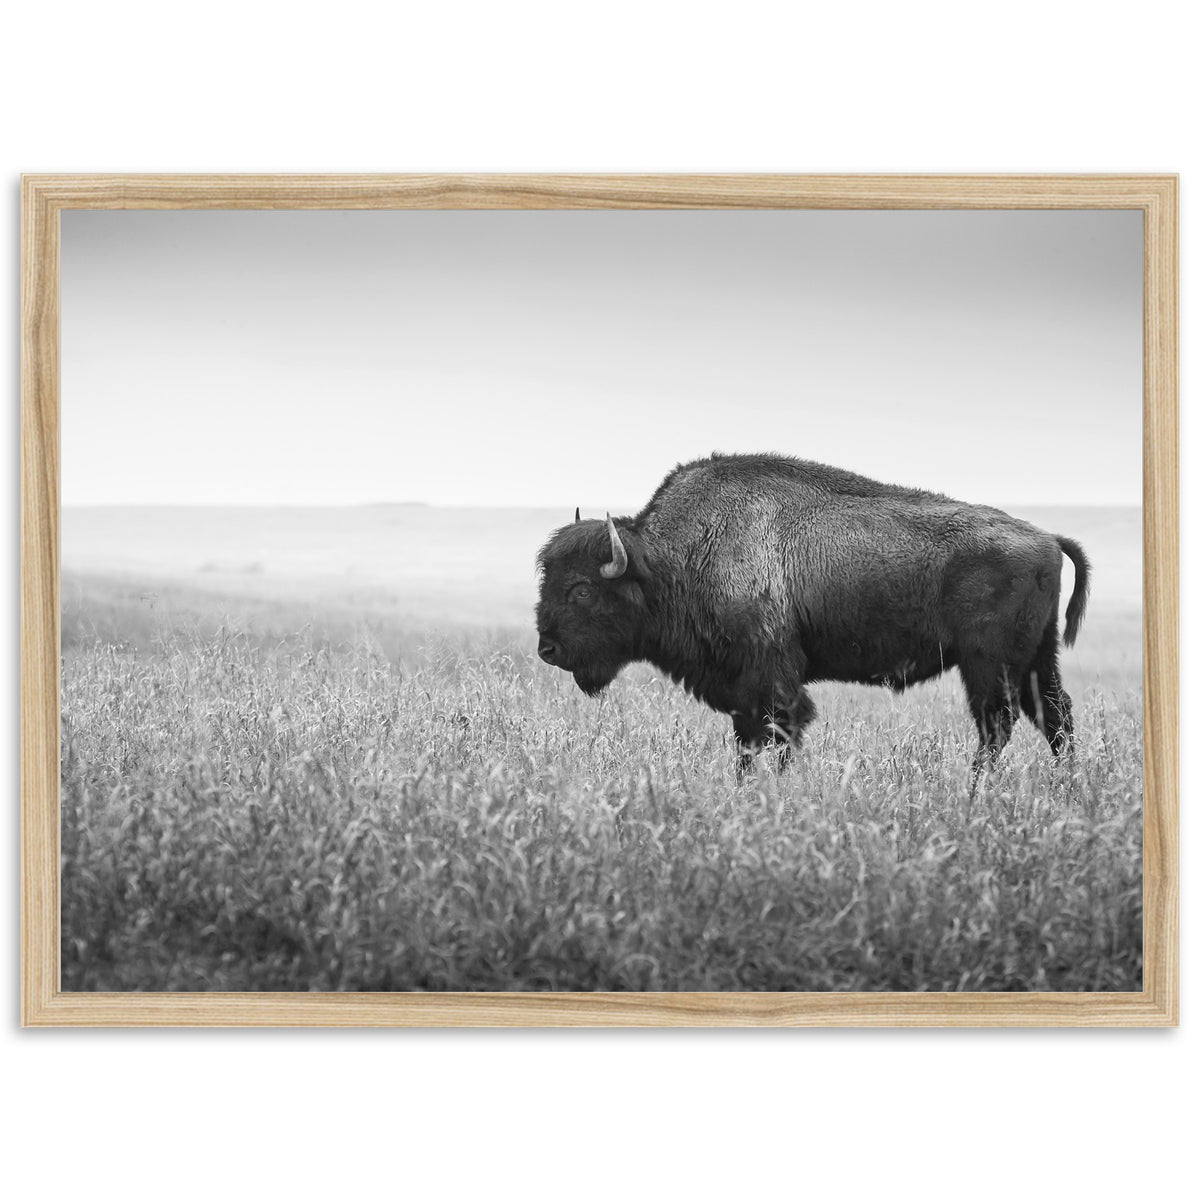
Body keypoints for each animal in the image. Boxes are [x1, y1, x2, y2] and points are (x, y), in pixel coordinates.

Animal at [535, 452, 1090, 778]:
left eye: (582, 589)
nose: (547, 649)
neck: (671, 559)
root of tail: (1046, 537)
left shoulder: (773, 682)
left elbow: (779, 735)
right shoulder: (743, 692)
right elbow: (747, 745)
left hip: (988, 665)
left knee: (998, 725)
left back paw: (976, 793)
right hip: (1036, 660)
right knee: (1055, 718)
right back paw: (1066, 790)